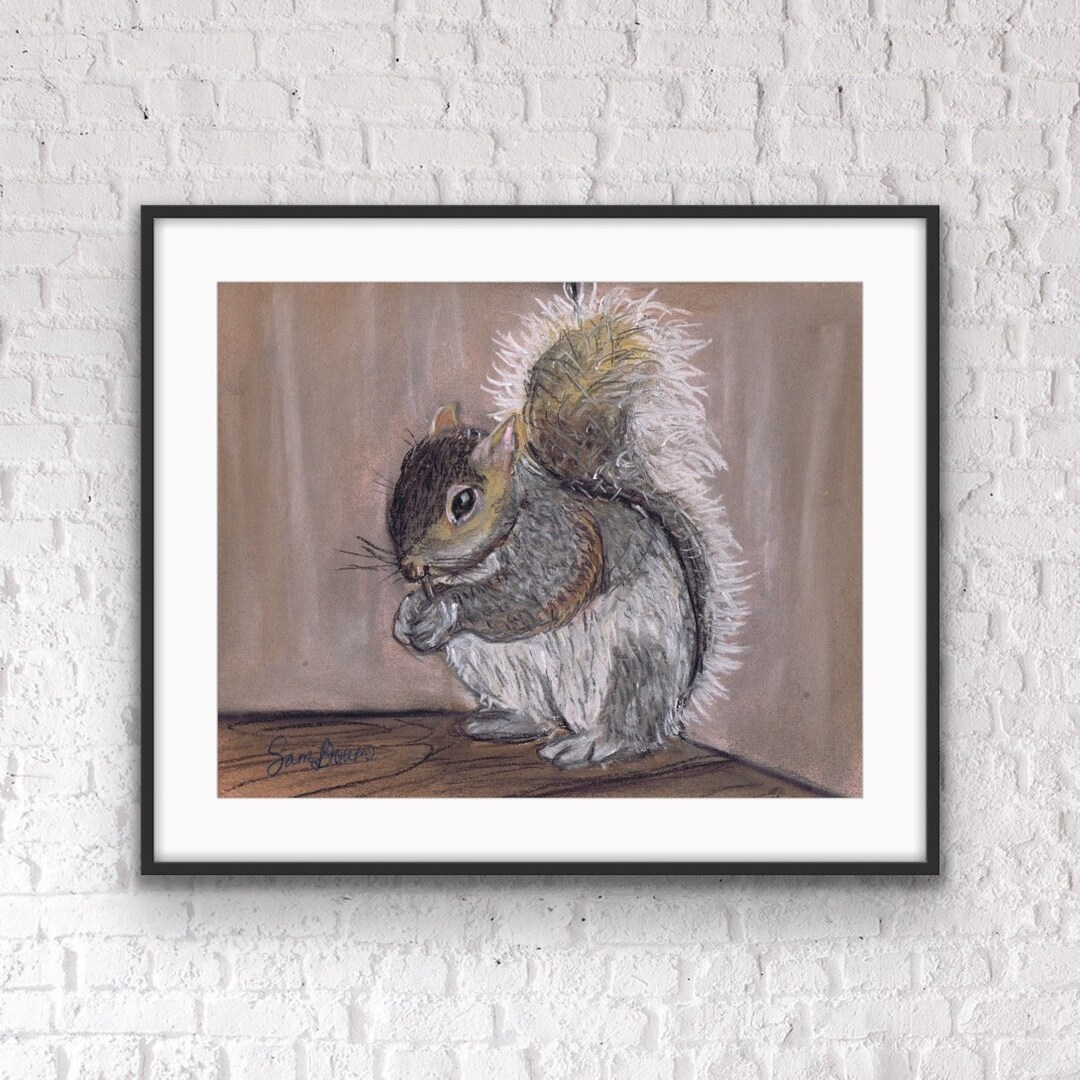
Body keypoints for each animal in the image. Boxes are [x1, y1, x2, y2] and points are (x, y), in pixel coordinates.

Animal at [383, 285, 745, 768]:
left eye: (463, 502)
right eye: (401, 482)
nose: (410, 567)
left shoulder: (559, 539)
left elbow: (542, 591)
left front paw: (445, 608)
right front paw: (408, 615)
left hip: (632, 663)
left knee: (632, 728)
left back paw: (594, 743)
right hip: (490, 666)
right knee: (538, 713)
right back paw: (507, 721)